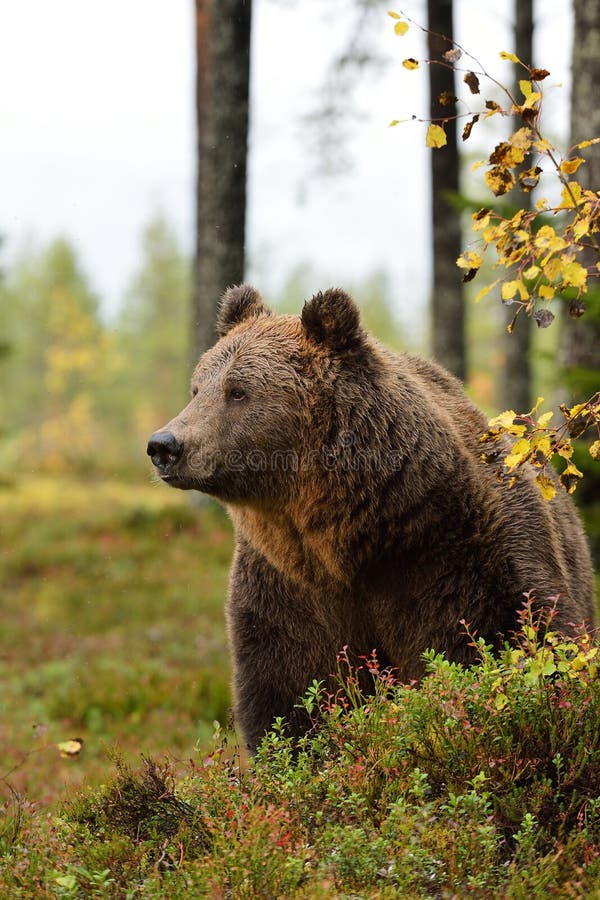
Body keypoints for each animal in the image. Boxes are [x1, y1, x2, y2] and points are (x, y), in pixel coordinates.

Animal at [147, 284, 597, 752]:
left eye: (237, 391)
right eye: (198, 387)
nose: (165, 444)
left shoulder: (461, 556)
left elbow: (521, 639)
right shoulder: (287, 588)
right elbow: (287, 694)